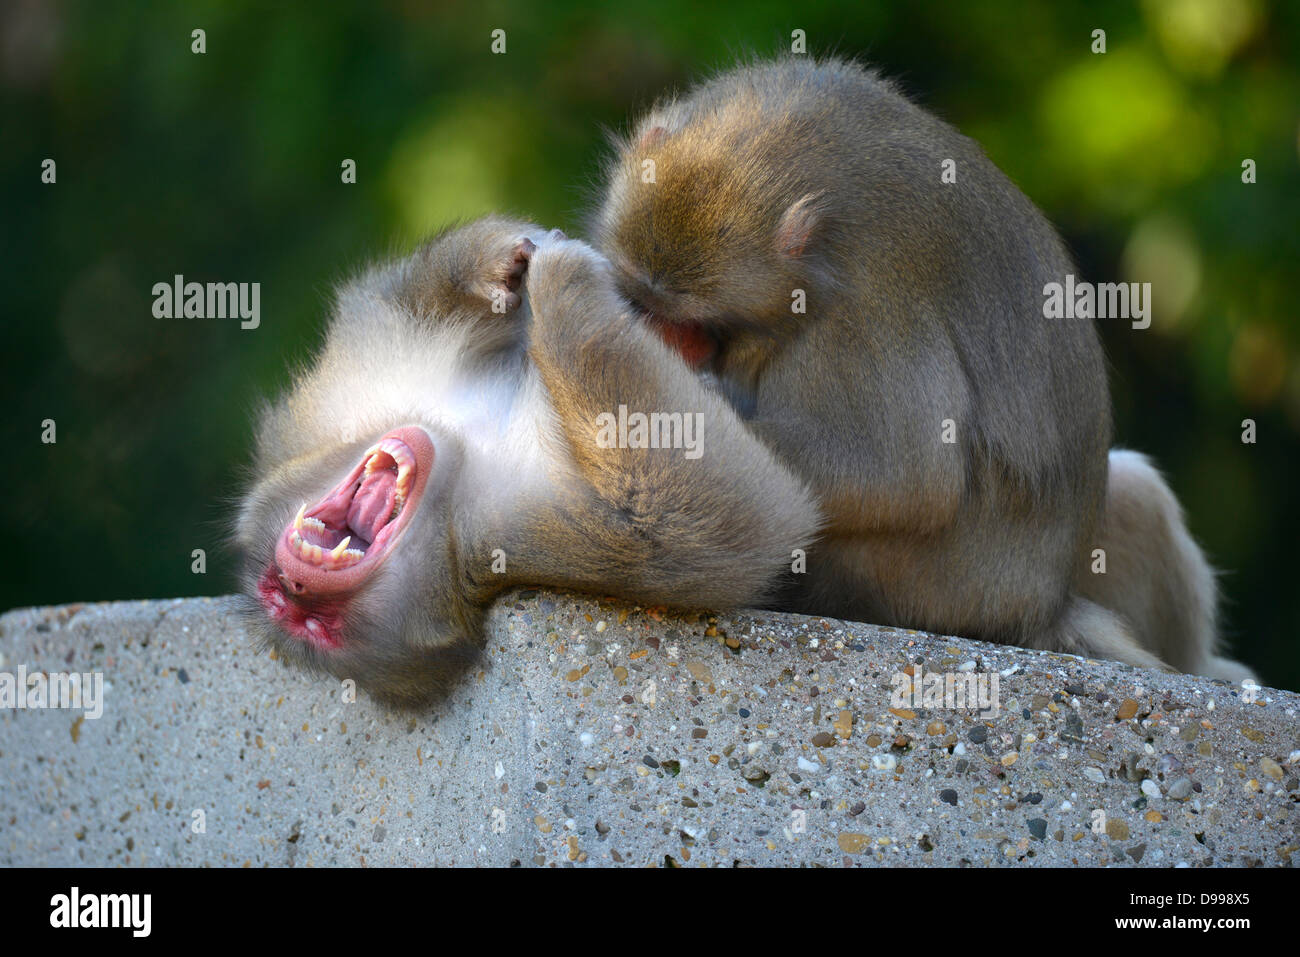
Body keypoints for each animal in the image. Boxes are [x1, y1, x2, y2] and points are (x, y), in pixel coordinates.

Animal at [234, 217, 821, 707]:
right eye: (309, 623)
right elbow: (706, 522)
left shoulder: (323, 412)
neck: (459, 452)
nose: (297, 586)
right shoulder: (503, 538)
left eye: (282, 599)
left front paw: (495, 262)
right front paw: (562, 275)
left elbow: (401, 295)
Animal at [592, 56, 1255, 683]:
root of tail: (1037, 612)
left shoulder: (866, 309)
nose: (673, 350)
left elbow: (906, 473)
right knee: (1140, 493)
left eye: (700, 326)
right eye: (641, 303)